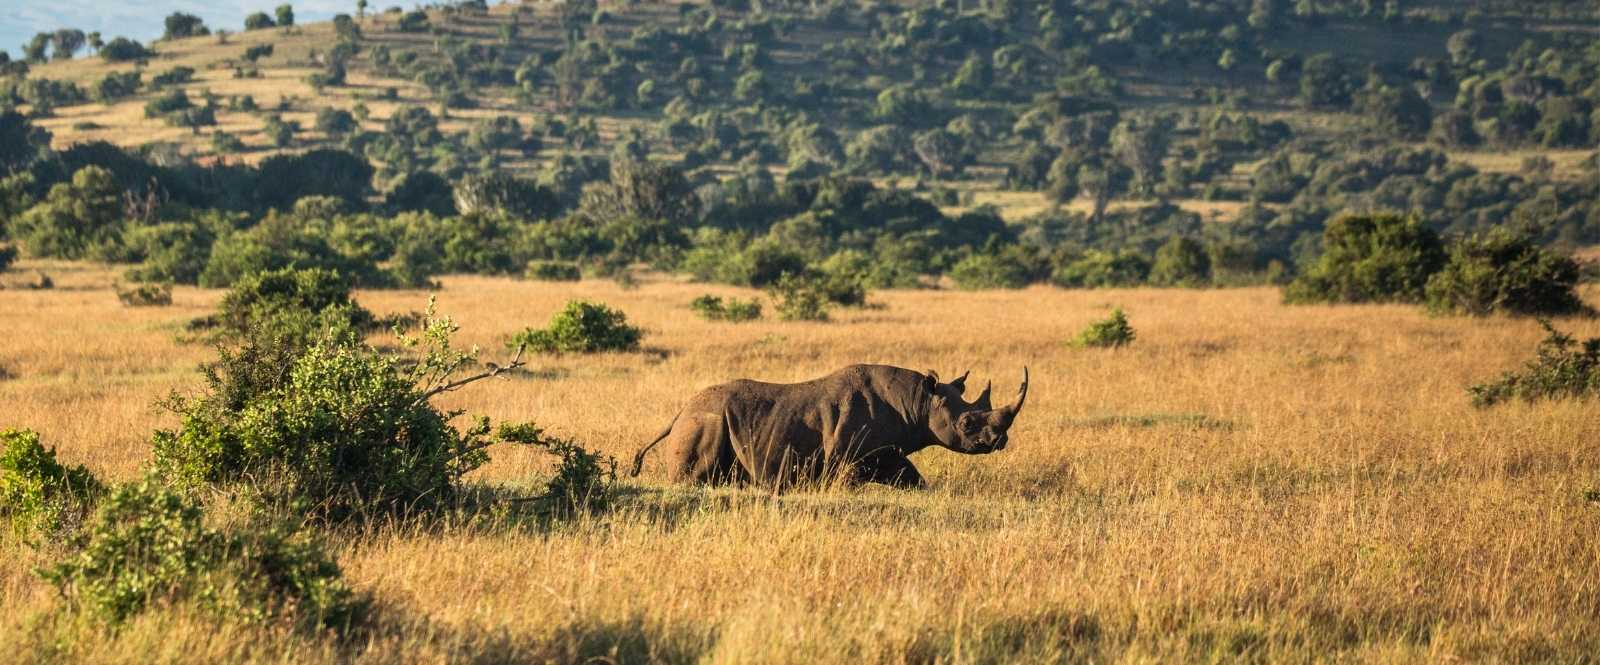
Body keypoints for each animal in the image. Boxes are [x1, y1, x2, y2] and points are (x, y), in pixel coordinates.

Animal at [629, 364, 1029, 488]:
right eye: (967, 422)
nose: (1000, 440)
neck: (918, 403)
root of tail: (678, 413)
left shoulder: (888, 452)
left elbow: (913, 479)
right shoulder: (846, 455)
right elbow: (845, 482)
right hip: (705, 420)